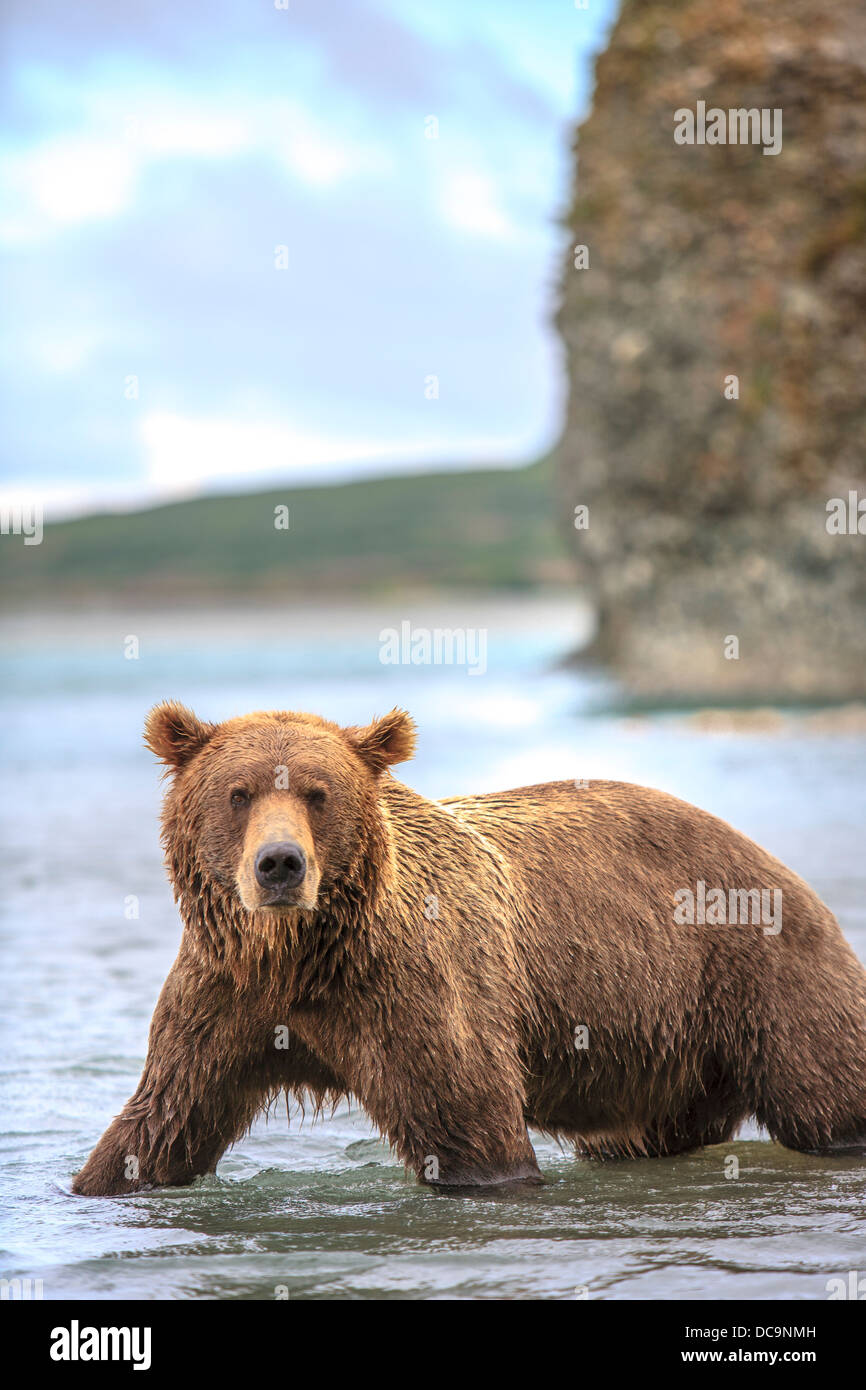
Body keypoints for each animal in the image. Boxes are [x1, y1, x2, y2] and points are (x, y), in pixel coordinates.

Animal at [72, 701, 866, 1196]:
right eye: (237, 793)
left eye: (318, 793)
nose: (279, 865)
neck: (302, 958)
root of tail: (772, 862)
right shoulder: (223, 995)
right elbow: (163, 1118)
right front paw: (97, 1182)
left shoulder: (414, 985)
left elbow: (470, 1127)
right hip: (668, 1054)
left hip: (757, 973)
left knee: (829, 1094)